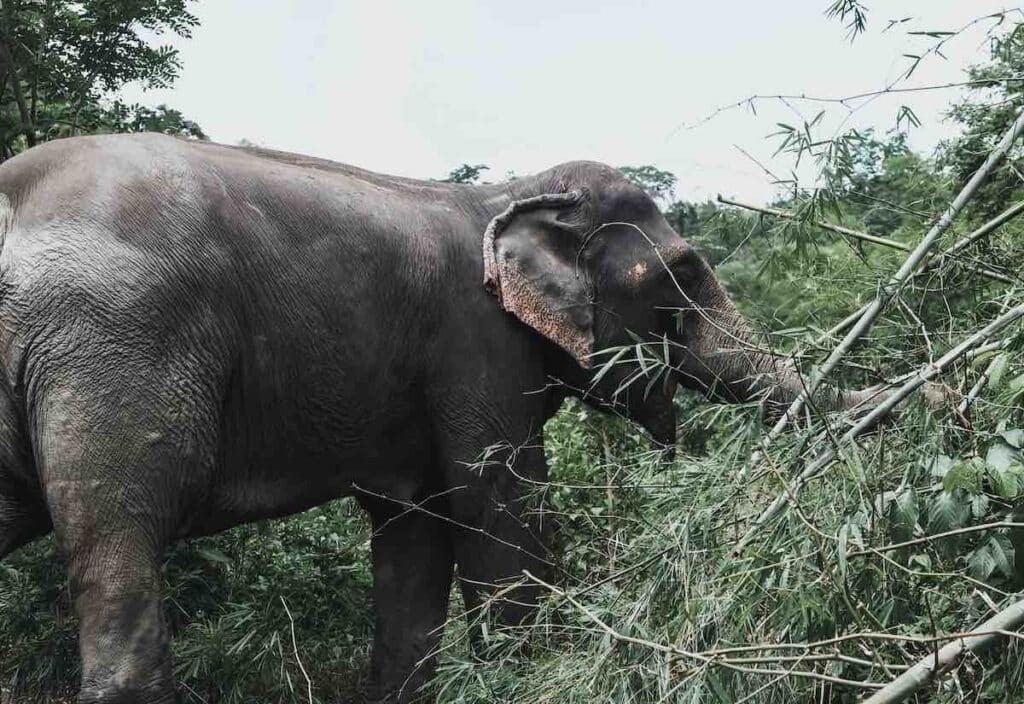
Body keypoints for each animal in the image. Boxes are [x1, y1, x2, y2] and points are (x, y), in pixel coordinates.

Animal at [0, 133, 913, 703]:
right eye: (682, 276)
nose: (921, 397)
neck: (511, 193)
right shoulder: (474, 343)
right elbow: (500, 510)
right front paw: (540, 679)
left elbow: (416, 530)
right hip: (117, 343)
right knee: (120, 536)